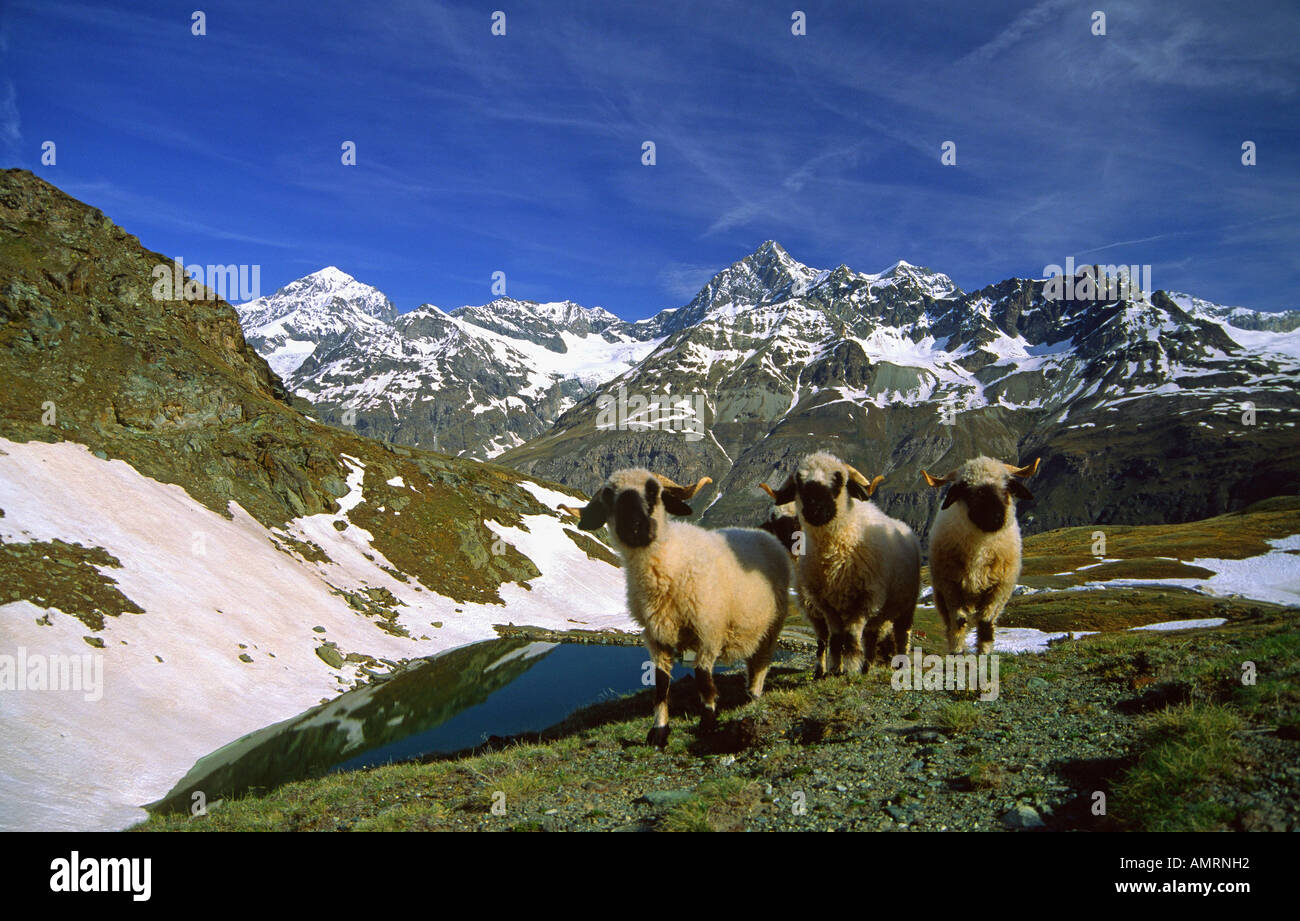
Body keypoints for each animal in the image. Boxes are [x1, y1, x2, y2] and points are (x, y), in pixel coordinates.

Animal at [565, 469, 791, 748]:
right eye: (608, 496)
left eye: (654, 491)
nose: (634, 527)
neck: (669, 562)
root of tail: (765, 536)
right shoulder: (655, 637)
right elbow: (661, 685)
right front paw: (659, 731)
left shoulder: (709, 632)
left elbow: (704, 680)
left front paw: (708, 723)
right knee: (754, 661)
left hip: (773, 624)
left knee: (762, 662)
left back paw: (754, 697)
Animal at [761, 452, 921, 678]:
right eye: (800, 482)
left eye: (838, 479)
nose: (815, 509)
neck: (833, 556)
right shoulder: (824, 607)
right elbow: (831, 640)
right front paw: (831, 669)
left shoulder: (864, 600)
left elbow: (851, 637)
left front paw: (849, 669)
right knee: (871, 639)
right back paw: (866, 668)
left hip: (906, 606)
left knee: (902, 638)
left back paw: (900, 667)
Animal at [921, 456, 1040, 655]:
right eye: (967, 489)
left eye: (1006, 487)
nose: (994, 517)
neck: (981, 548)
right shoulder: (950, 586)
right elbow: (959, 620)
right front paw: (957, 650)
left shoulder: (999, 588)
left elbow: (985, 621)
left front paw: (984, 651)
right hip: (941, 594)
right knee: (950, 622)